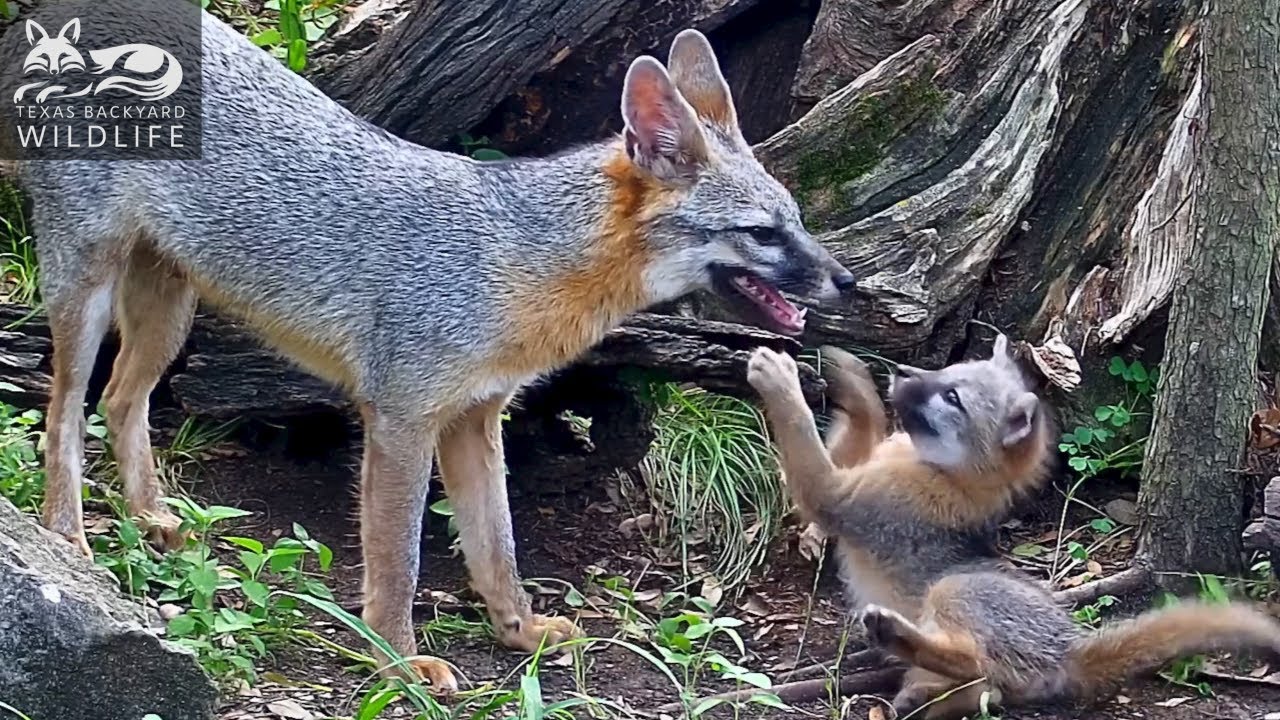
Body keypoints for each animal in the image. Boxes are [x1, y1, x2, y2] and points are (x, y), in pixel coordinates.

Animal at [3, 4, 854, 691]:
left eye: (796, 219)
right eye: (763, 233)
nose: (845, 281)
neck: (516, 257)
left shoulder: (476, 419)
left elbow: (497, 546)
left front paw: (519, 632)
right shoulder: (401, 420)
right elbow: (399, 562)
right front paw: (396, 662)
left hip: (169, 312)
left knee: (122, 400)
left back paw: (151, 517)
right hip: (86, 296)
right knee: (63, 418)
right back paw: (68, 538)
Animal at [745, 340, 1280, 718]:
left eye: (953, 397)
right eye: (947, 374)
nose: (902, 371)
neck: (936, 471)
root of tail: (1071, 646)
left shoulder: (834, 495)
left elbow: (801, 438)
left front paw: (780, 380)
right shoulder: (852, 471)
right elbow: (866, 420)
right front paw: (850, 372)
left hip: (953, 589)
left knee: (975, 666)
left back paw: (895, 634)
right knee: (985, 690)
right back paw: (916, 689)